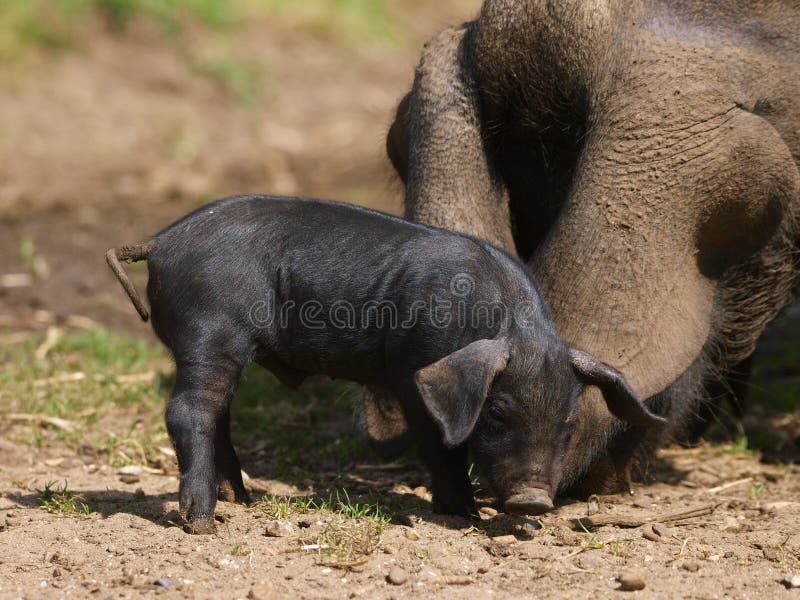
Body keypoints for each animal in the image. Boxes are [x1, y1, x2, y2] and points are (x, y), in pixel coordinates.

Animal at [106, 195, 666, 534]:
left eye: (569, 424)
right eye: (497, 413)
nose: (533, 500)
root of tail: (162, 241)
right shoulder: (411, 372)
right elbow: (441, 444)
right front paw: (463, 514)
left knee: (218, 411)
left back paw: (243, 500)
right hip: (209, 330)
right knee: (188, 411)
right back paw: (203, 520)